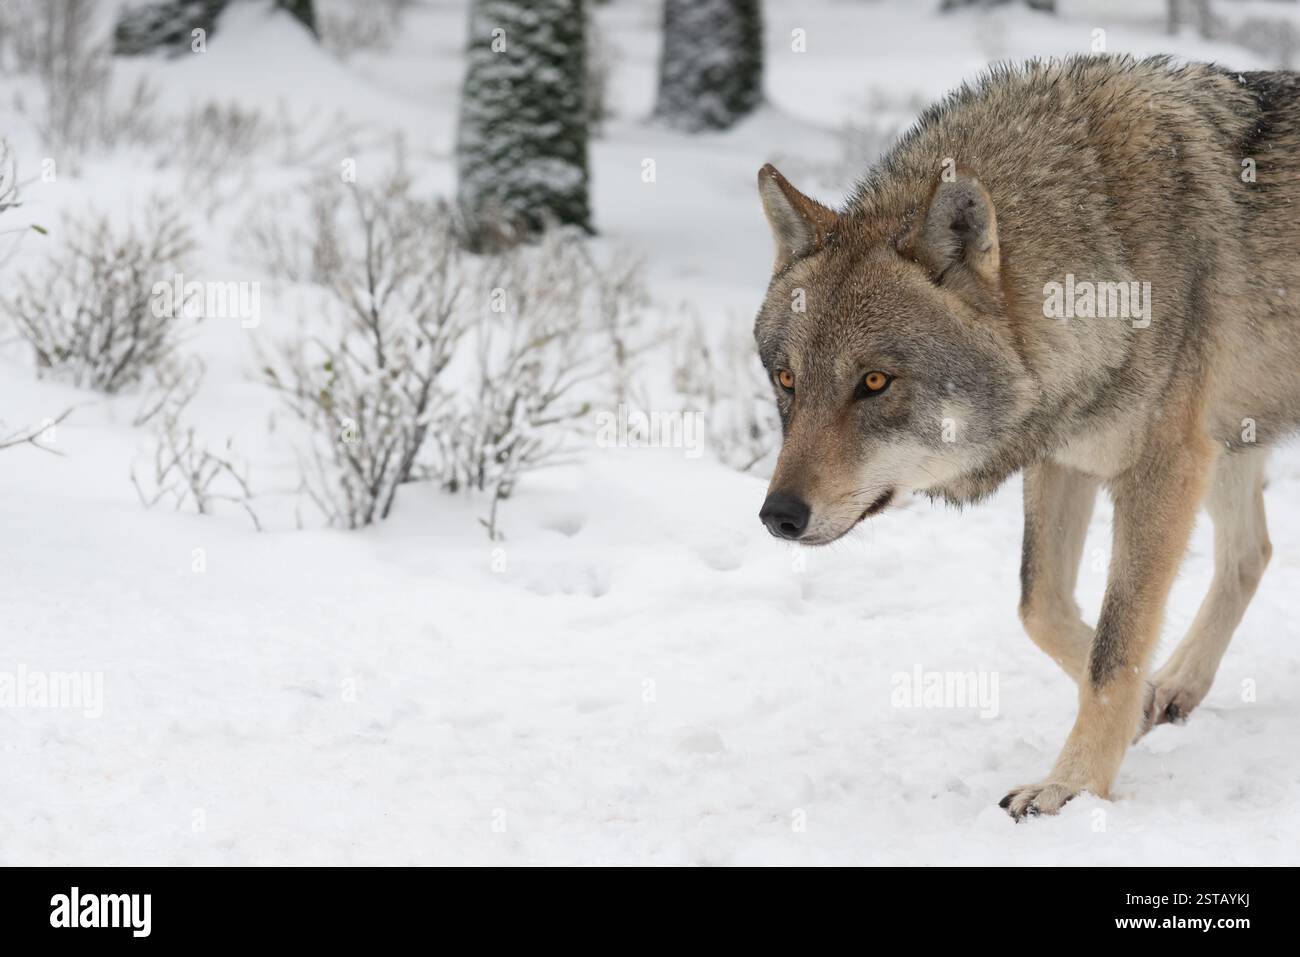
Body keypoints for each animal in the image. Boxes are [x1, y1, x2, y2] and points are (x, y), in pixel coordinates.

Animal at [751, 55, 1300, 819]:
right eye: (786, 380)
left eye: (875, 382)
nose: (778, 515)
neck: (1103, 244)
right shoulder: (1064, 456)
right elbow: (1039, 606)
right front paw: (1143, 703)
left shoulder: (1163, 468)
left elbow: (1114, 647)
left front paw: (1072, 786)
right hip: (1230, 442)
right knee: (1253, 553)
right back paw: (1180, 684)